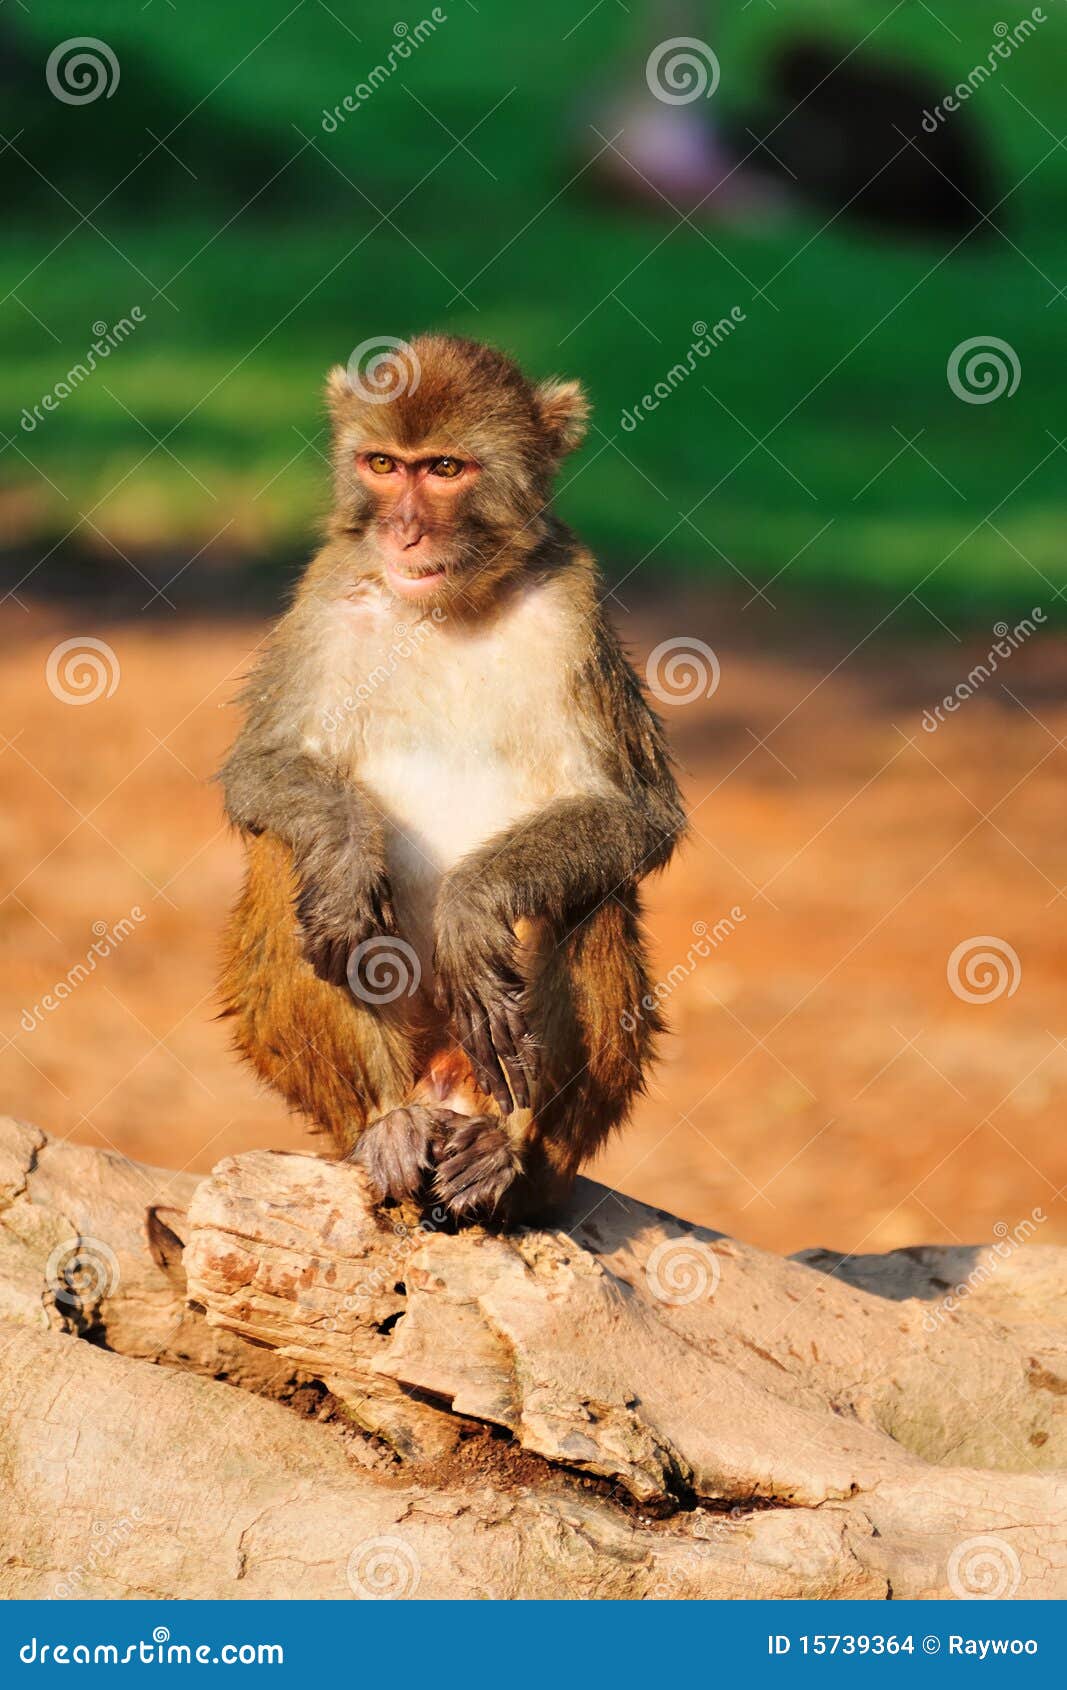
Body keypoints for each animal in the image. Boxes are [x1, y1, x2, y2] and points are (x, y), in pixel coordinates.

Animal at [218, 334, 686, 1223]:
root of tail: (445, 1089)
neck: (451, 606)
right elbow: (259, 774)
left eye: (442, 469)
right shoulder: (328, 589)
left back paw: (506, 1150)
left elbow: (637, 815)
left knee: (590, 895)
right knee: (287, 860)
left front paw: (473, 906)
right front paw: (344, 856)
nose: (402, 533)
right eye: (380, 465)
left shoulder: (573, 605)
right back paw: (387, 1125)